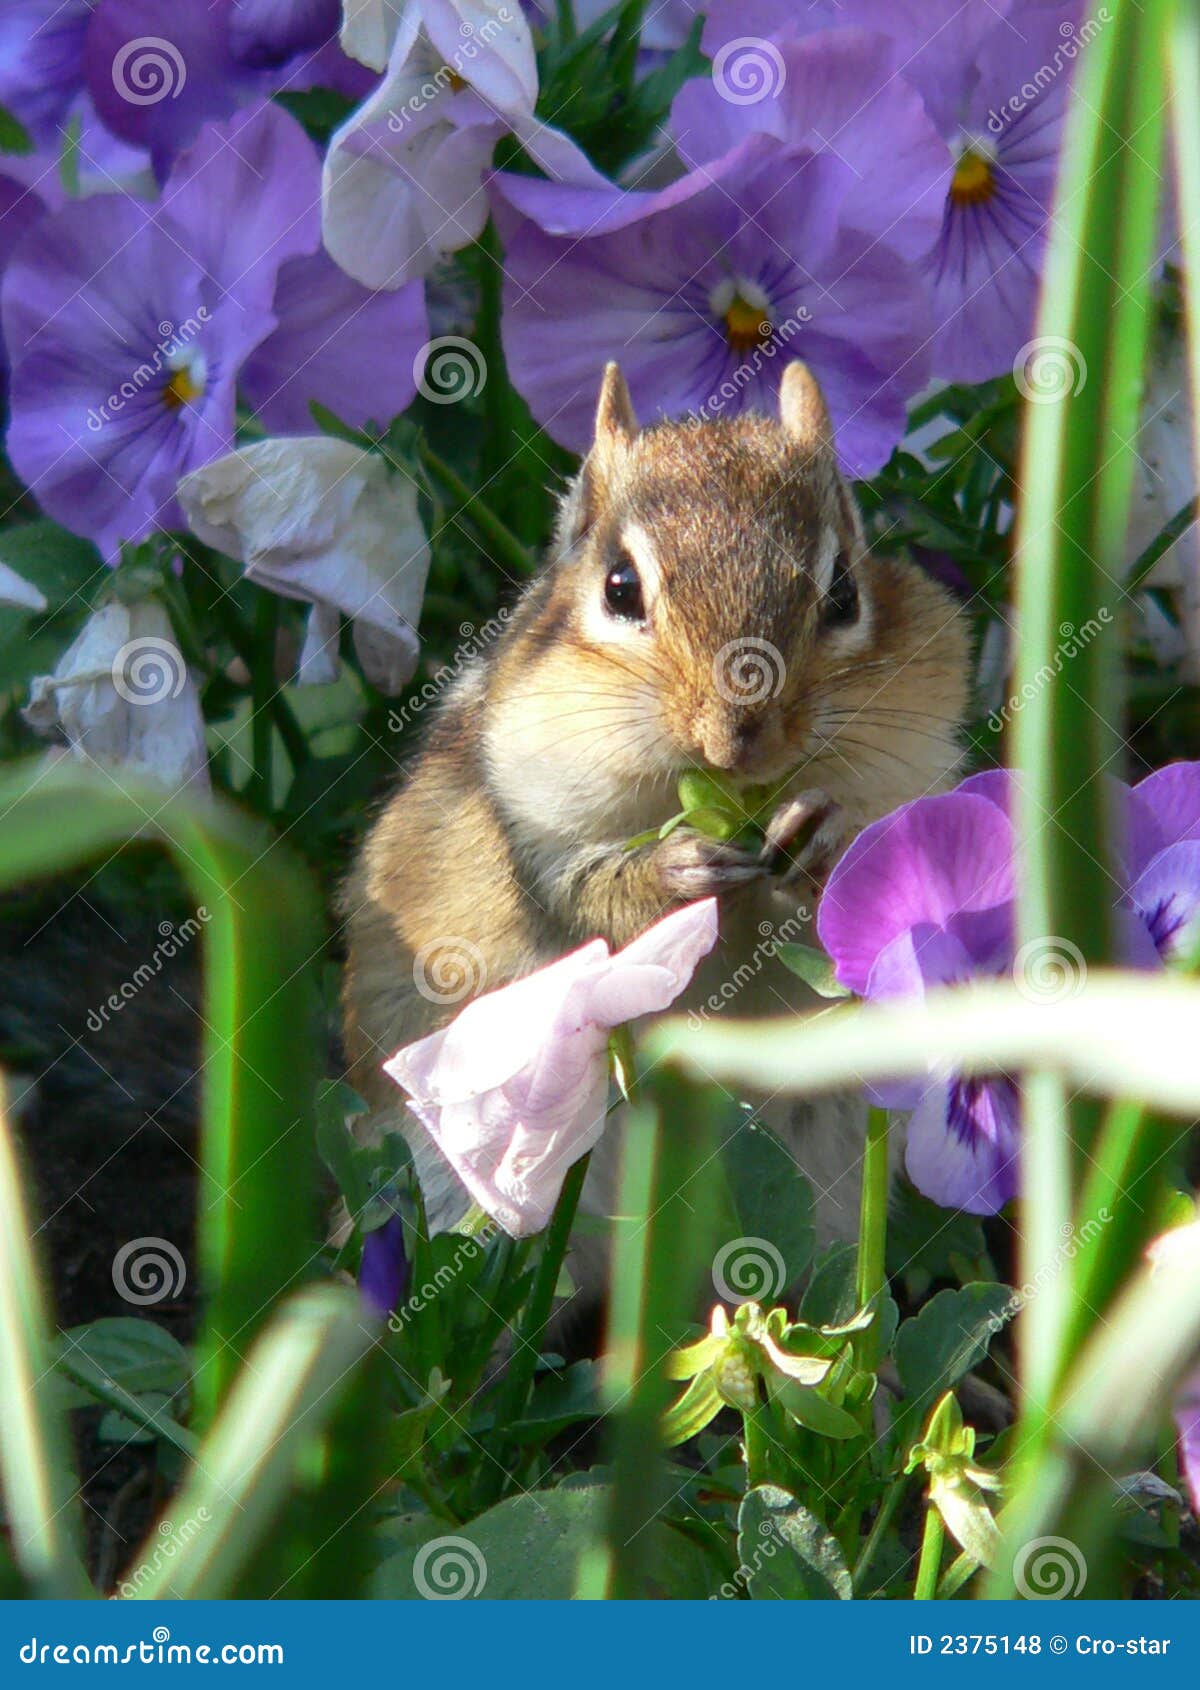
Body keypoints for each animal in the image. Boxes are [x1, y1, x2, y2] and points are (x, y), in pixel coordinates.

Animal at [341, 361, 970, 1271]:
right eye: (620, 588)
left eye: (845, 592)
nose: (738, 740)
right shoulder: (523, 818)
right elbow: (577, 893)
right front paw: (678, 868)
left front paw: (819, 837)